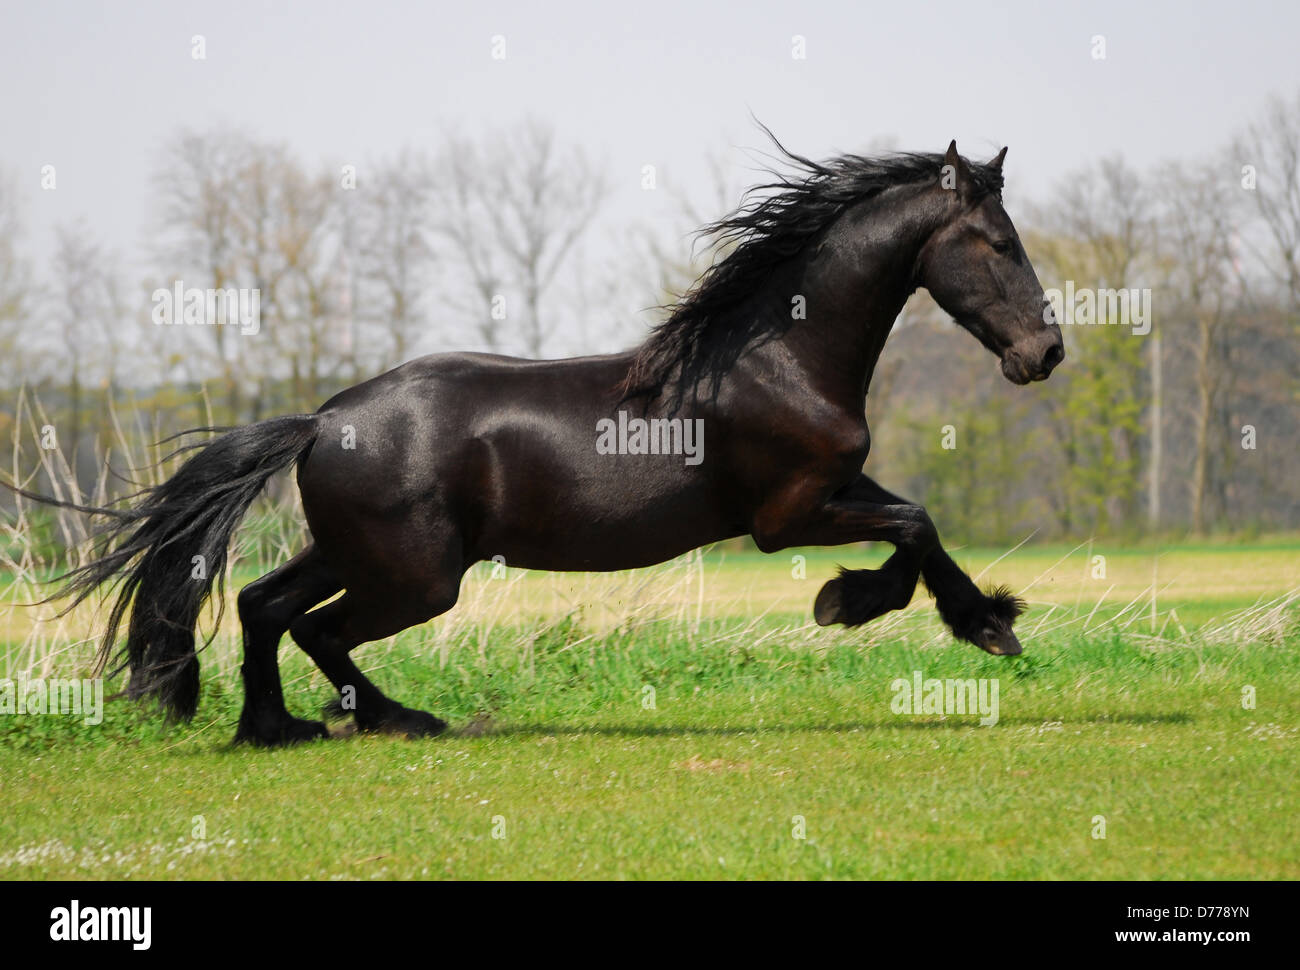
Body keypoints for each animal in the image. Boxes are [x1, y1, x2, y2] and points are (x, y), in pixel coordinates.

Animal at [19, 136, 1064, 746]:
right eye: (999, 242)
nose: (1045, 352)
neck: (778, 355)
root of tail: (322, 419)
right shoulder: (789, 514)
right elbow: (914, 526)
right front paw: (874, 606)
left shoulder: (836, 489)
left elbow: (918, 523)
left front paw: (965, 618)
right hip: (417, 576)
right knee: (315, 626)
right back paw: (395, 719)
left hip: (357, 551)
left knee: (261, 604)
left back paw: (277, 729)